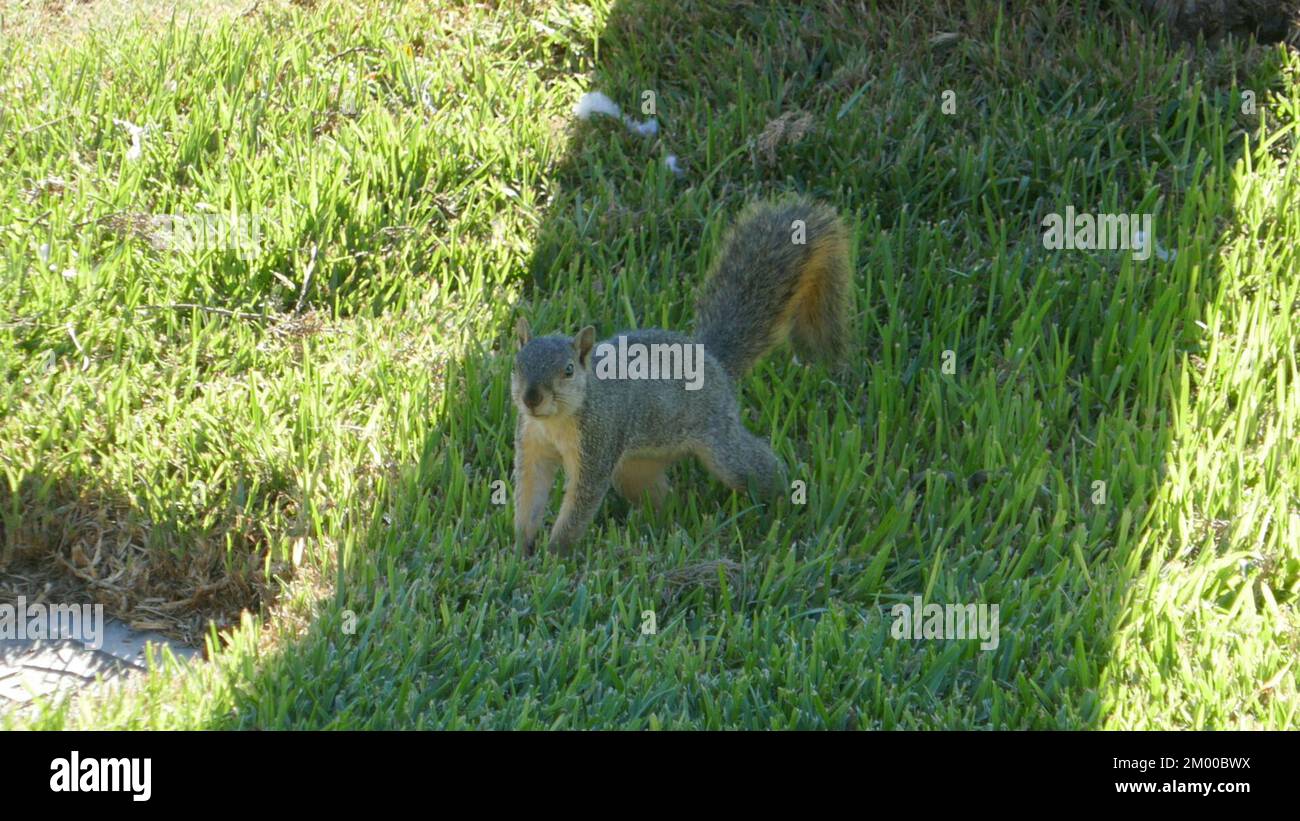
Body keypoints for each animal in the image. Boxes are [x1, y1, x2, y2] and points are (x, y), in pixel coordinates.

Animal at [510, 198, 853, 554]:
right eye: (517, 365)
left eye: (567, 370)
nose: (531, 398)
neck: (555, 421)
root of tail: (712, 360)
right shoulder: (531, 442)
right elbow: (530, 491)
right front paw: (521, 548)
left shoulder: (598, 439)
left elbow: (582, 500)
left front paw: (554, 552)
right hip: (636, 466)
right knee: (659, 495)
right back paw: (662, 528)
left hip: (719, 441)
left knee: (753, 465)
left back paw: (787, 503)